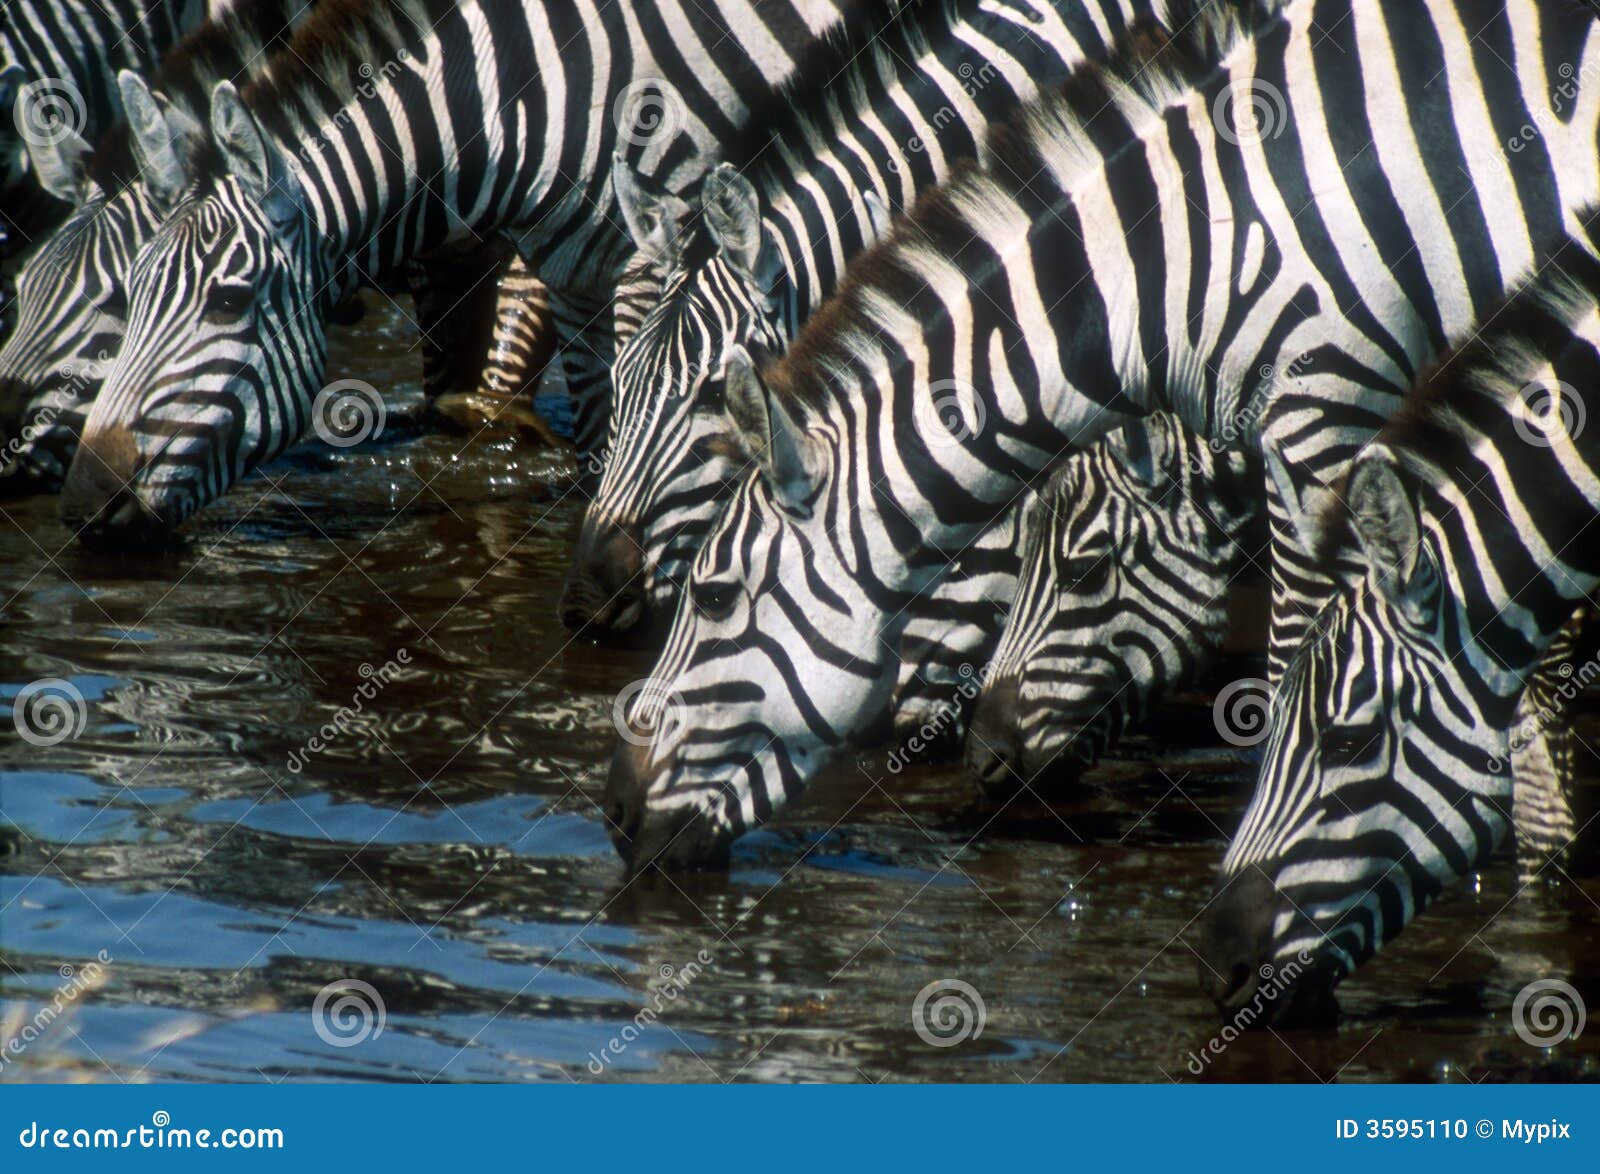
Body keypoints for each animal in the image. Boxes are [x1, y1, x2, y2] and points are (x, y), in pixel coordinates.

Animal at [54, 0, 888, 543]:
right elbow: (600, 449)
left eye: (228, 302)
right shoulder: (575, 287)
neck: (543, 101)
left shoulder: (655, 275)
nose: (82, 499)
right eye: (129, 297)